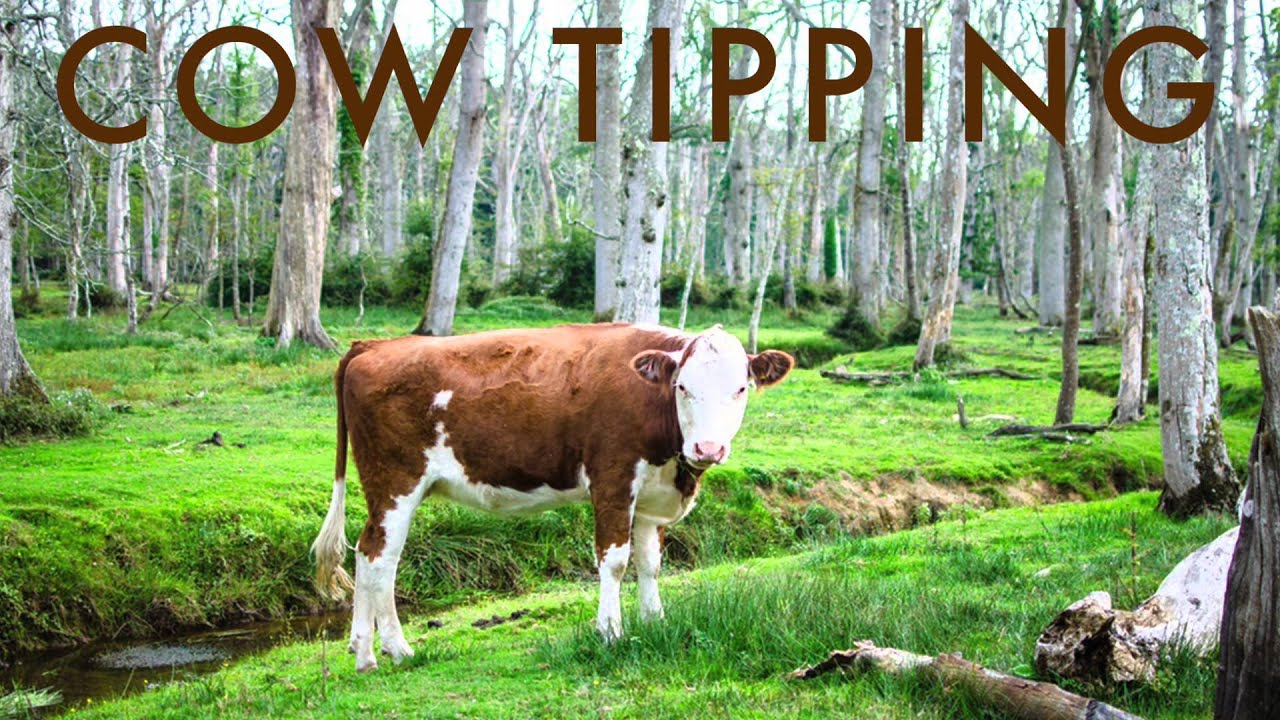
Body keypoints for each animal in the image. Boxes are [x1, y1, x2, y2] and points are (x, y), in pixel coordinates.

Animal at [311, 323, 794, 672]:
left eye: (741, 388)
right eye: (682, 388)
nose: (708, 448)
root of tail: (374, 345)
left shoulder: (651, 497)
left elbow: (651, 564)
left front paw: (655, 622)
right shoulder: (612, 481)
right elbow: (615, 562)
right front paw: (610, 633)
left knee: (364, 551)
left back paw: (362, 647)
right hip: (396, 482)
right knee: (381, 557)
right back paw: (389, 651)